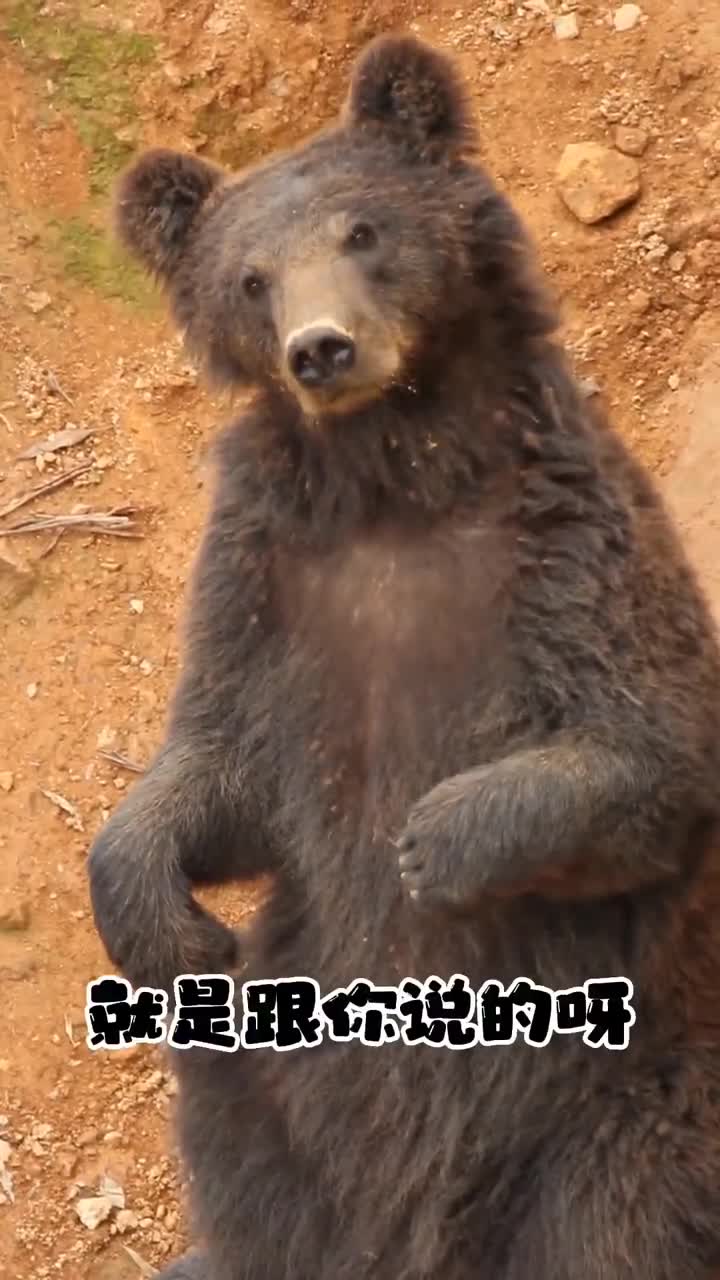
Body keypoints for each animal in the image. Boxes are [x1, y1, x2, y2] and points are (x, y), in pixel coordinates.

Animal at [87, 32, 720, 1280]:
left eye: (363, 230)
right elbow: (223, 758)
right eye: (251, 277)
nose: (321, 347)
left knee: (615, 1210)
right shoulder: (267, 579)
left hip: (615, 1093)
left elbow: (651, 744)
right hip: (278, 1061)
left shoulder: (564, 549)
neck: (392, 482)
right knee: (240, 1138)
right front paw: (161, 914)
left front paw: (436, 838)